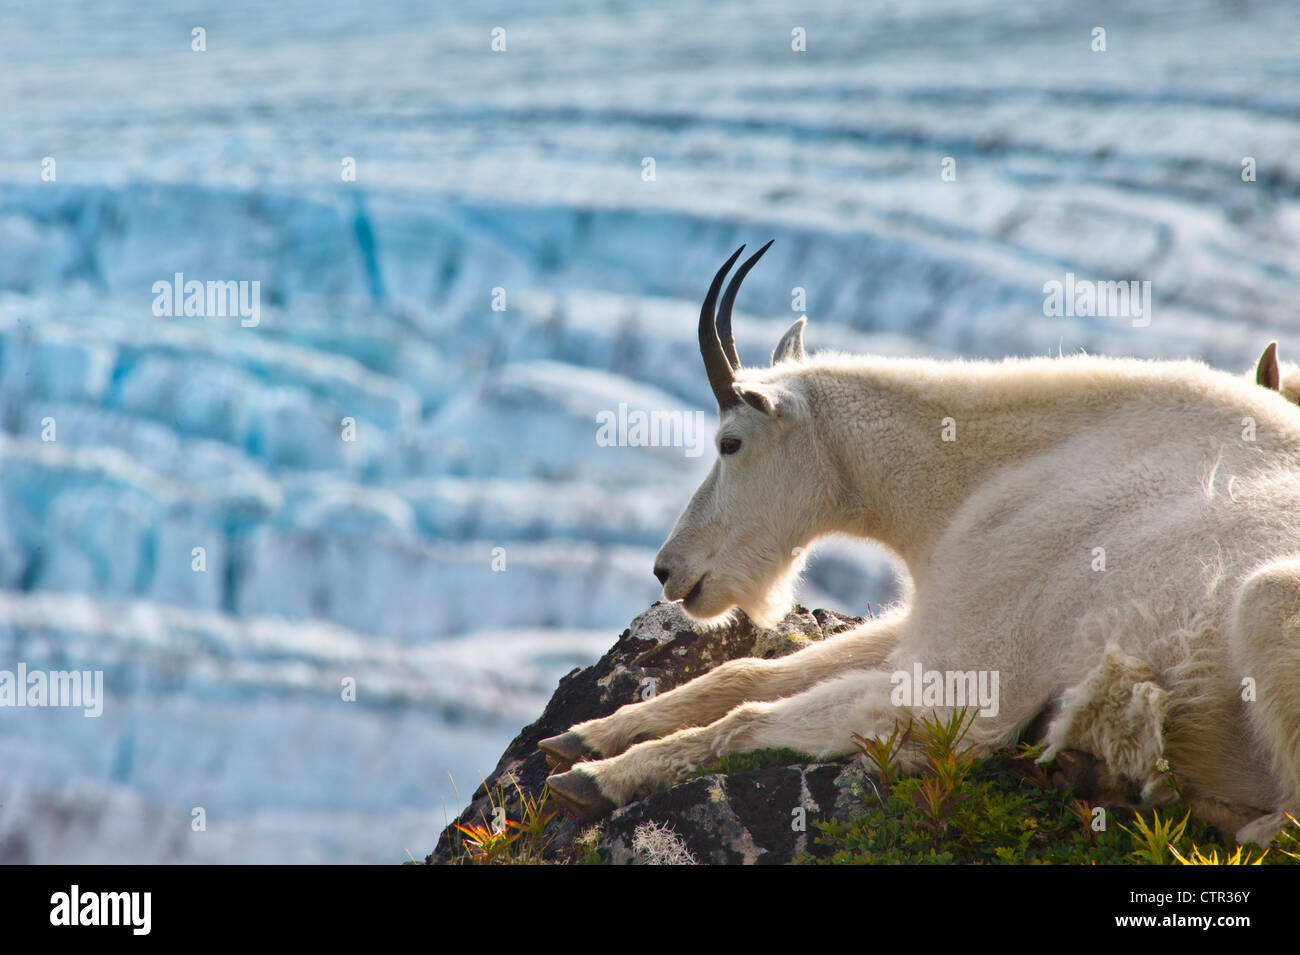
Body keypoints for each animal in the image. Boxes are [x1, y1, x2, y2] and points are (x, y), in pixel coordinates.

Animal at [543, 243, 1300, 847]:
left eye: (730, 442)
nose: (668, 569)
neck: (979, 480)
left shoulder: (963, 691)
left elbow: (749, 718)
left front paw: (597, 776)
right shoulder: (934, 620)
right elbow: (748, 674)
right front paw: (583, 736)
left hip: (1267, 599)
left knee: (1284, 820)